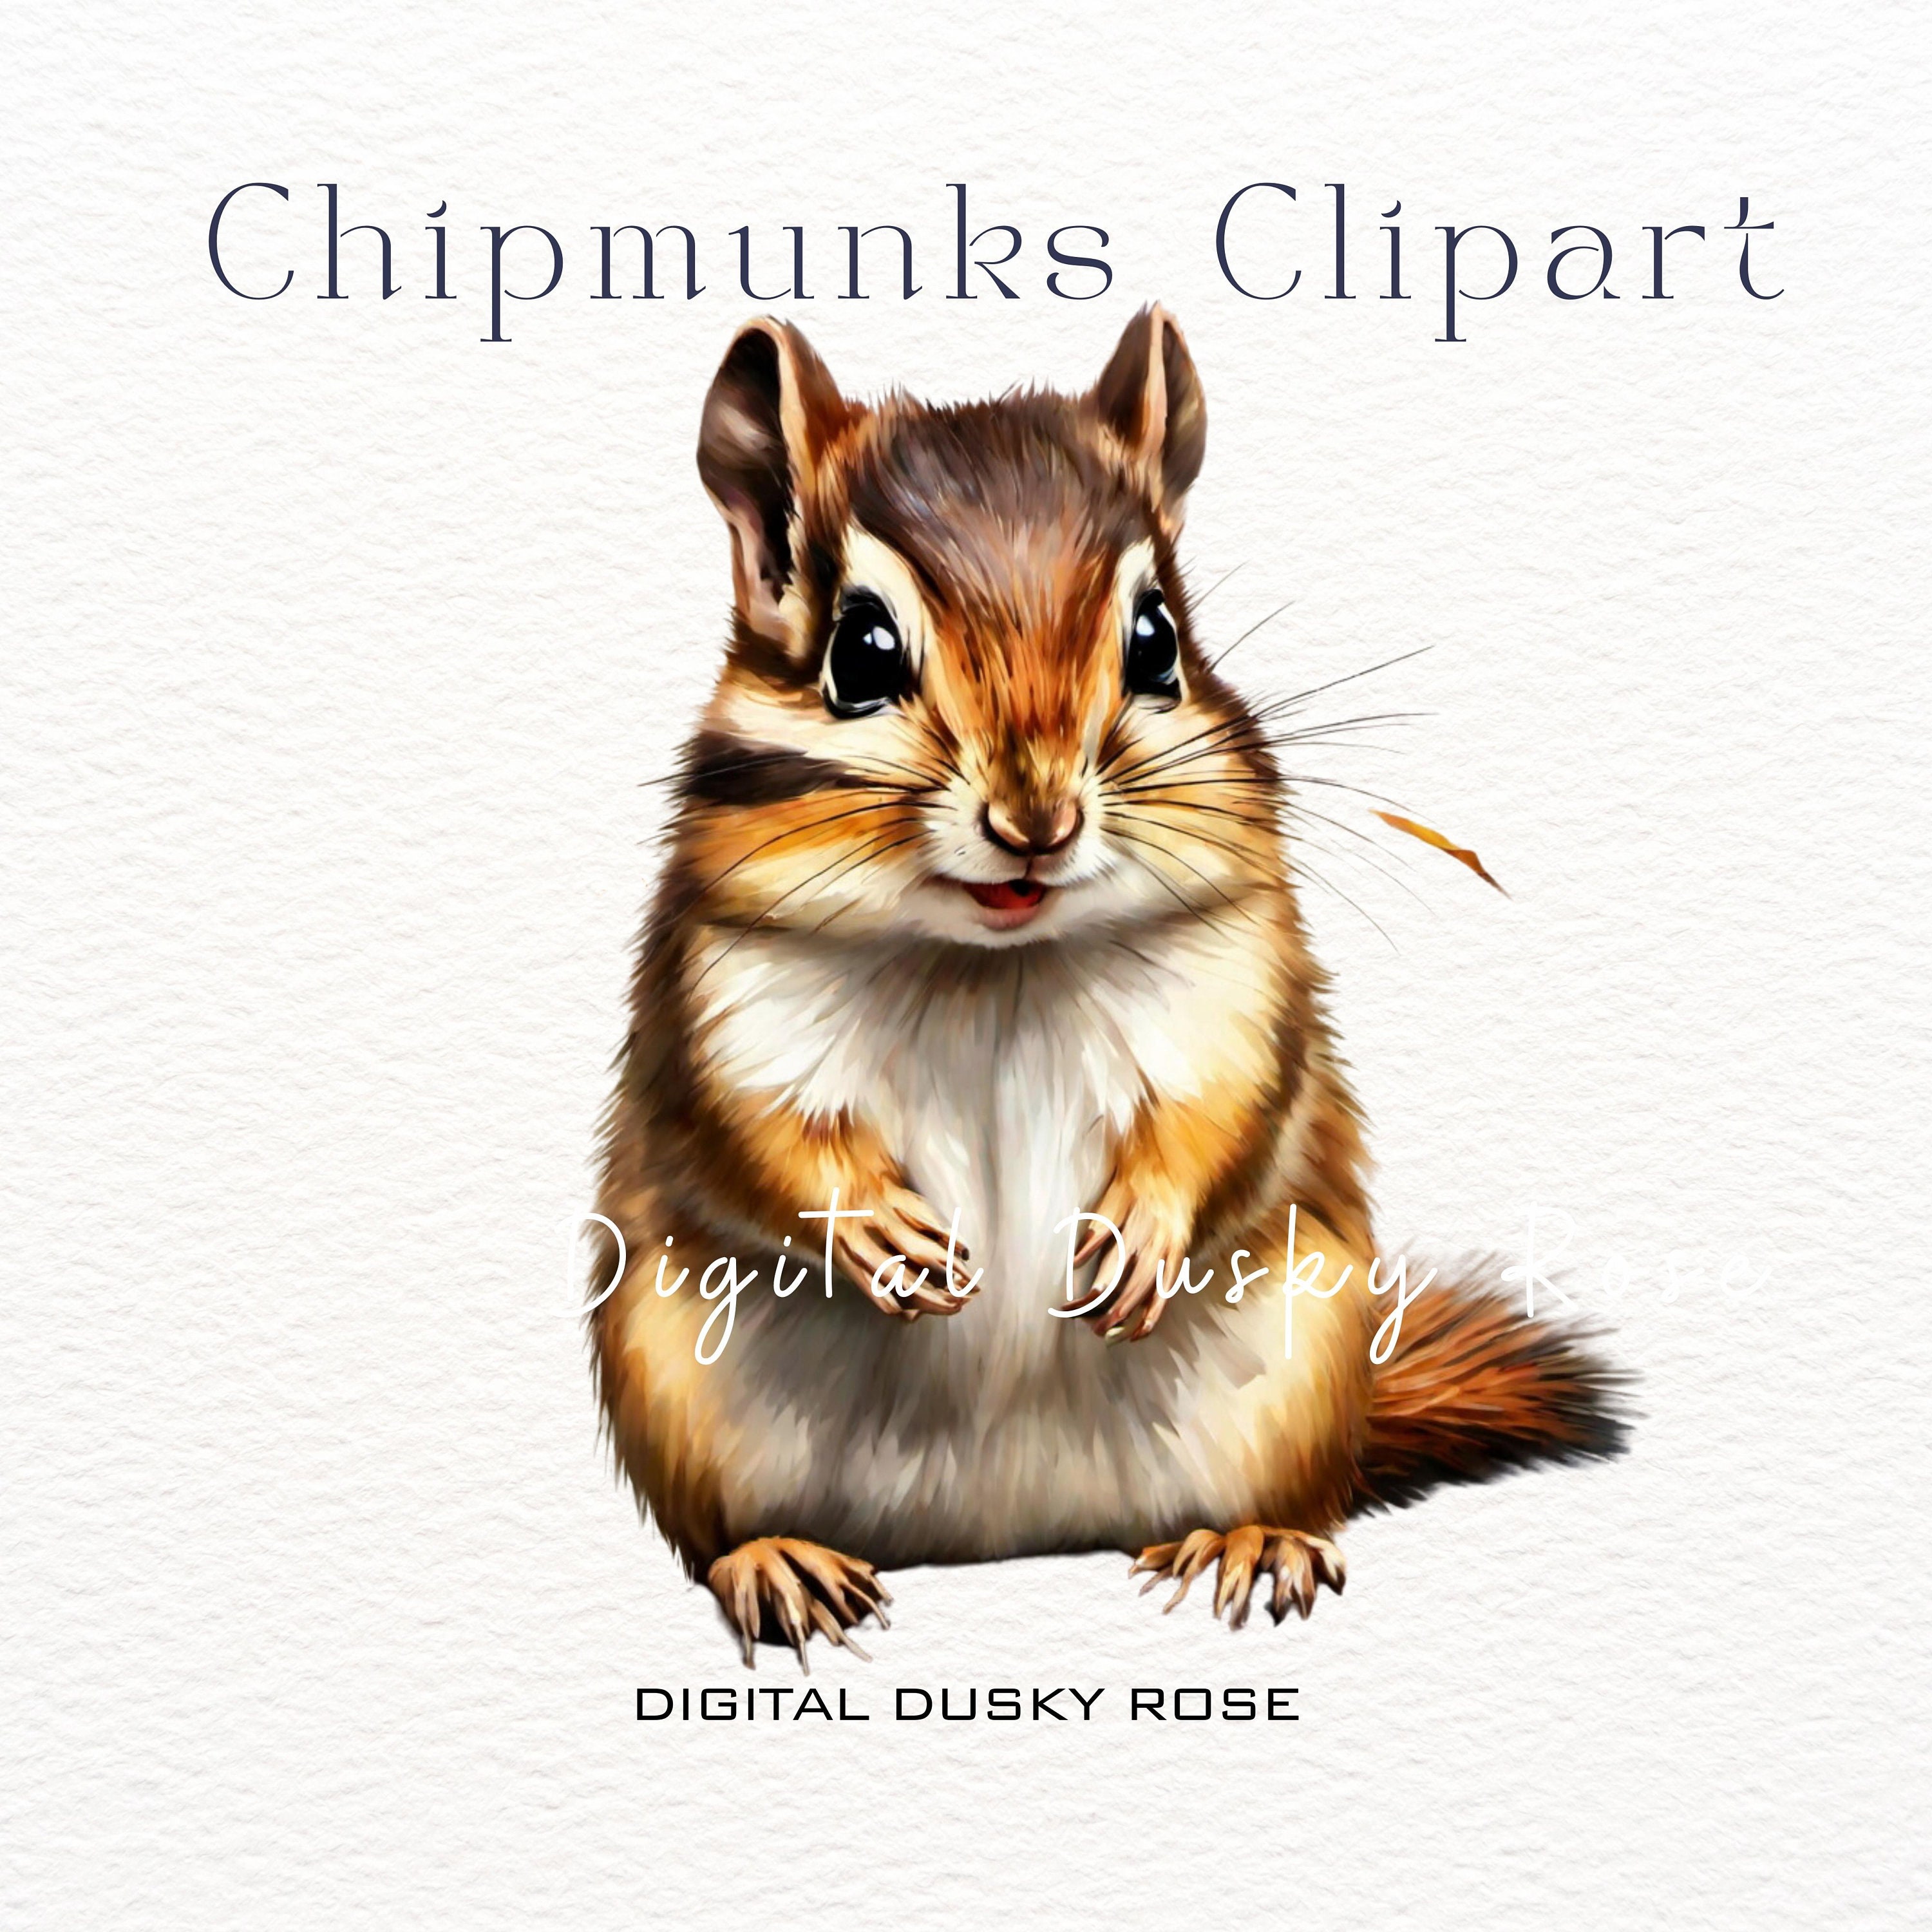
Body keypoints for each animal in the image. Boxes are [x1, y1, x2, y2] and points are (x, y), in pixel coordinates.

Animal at [590, 307, 1626, 1669]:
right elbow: (756, 1133)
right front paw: (877, 1233)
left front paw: (1143, 1234)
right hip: (673, 1381)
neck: (991, 966)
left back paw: (1255, 1540)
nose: (1037, 822)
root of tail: (1005, 1531)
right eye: (858, 650)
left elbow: (1222, 1116)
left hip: (1303, 1372)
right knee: (714, 1530)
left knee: (1300, 1493)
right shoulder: (723, 999)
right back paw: (779, 1563)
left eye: (1156, 642)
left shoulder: (1234, 983)